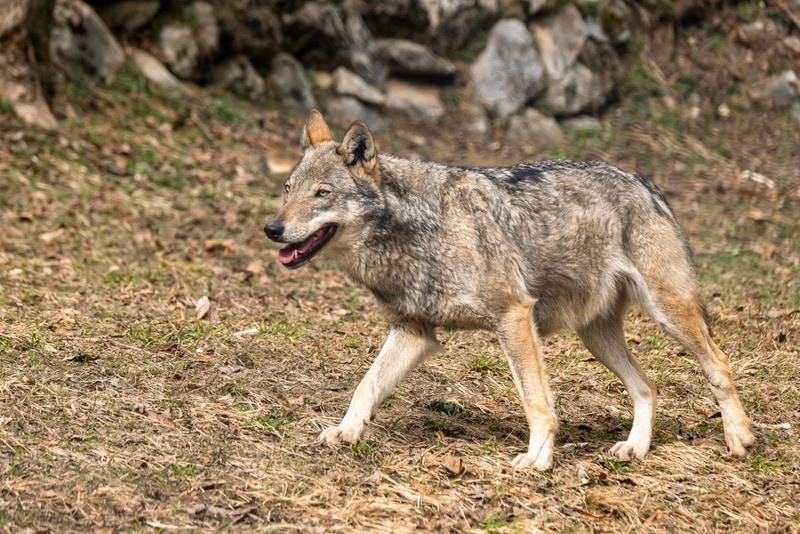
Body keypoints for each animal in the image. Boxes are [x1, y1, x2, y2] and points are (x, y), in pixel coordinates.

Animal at [264, 110, 754, 470]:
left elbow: (536, 402)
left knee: (720, 364)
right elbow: (365, 387)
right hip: (596, 337)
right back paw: (635, 449)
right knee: (648, 387)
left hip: (668, 315)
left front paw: (537, 460)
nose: (272, 229)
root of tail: (643, 180)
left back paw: (739, 437)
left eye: (322, 193)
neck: (415, 232)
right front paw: (345, 432)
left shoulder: (513, 317)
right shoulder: (413, 333)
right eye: (287, 189)